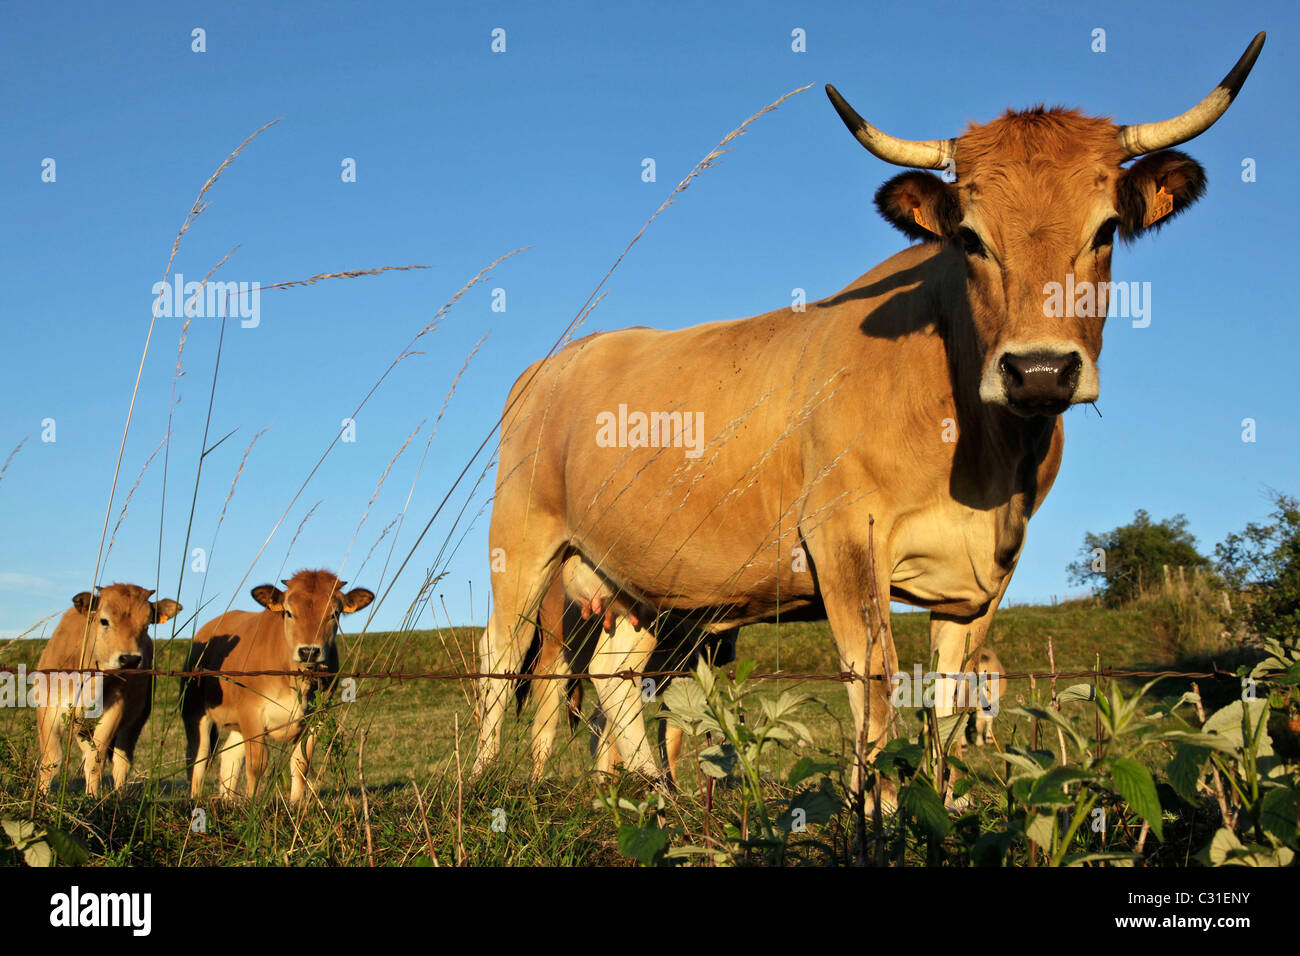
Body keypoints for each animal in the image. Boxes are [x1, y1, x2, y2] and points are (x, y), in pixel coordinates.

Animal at [36, 584, 181, 795]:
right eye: (104, 621)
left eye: (147, 625)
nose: (130, 659)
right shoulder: (47, 711)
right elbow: (50, 762)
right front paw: (41, 799)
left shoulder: (115, 711)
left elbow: (96, 760)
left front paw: (92, 798)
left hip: (136, 719)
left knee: (121, 761)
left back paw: (119, 797)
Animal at [181, 569, 373, 802]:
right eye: (289, 612)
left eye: (334, 613)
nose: (309, 651)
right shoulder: (251, 712)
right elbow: (257, 764)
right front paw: (253, 804)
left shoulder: (316, 717)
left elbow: (300, 763)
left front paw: (296, 804)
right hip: (194, 709)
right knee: (198, 756)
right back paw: (195, 798)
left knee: (230, 756)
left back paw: (228, 801)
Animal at [472, 34, 1265, 810]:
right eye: (969, 239)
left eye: (1106, 231)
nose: (1039, 370)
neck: (980, 454)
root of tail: (564, 356)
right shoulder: (844, 539)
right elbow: (876, 687)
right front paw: (875, 810)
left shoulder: (985, 577)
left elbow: (947, 703)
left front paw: (940, 806)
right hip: (524, 543)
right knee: (504, 660)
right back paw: (483, 791)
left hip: (640, 582)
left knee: (614, 675)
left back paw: (659, 798)